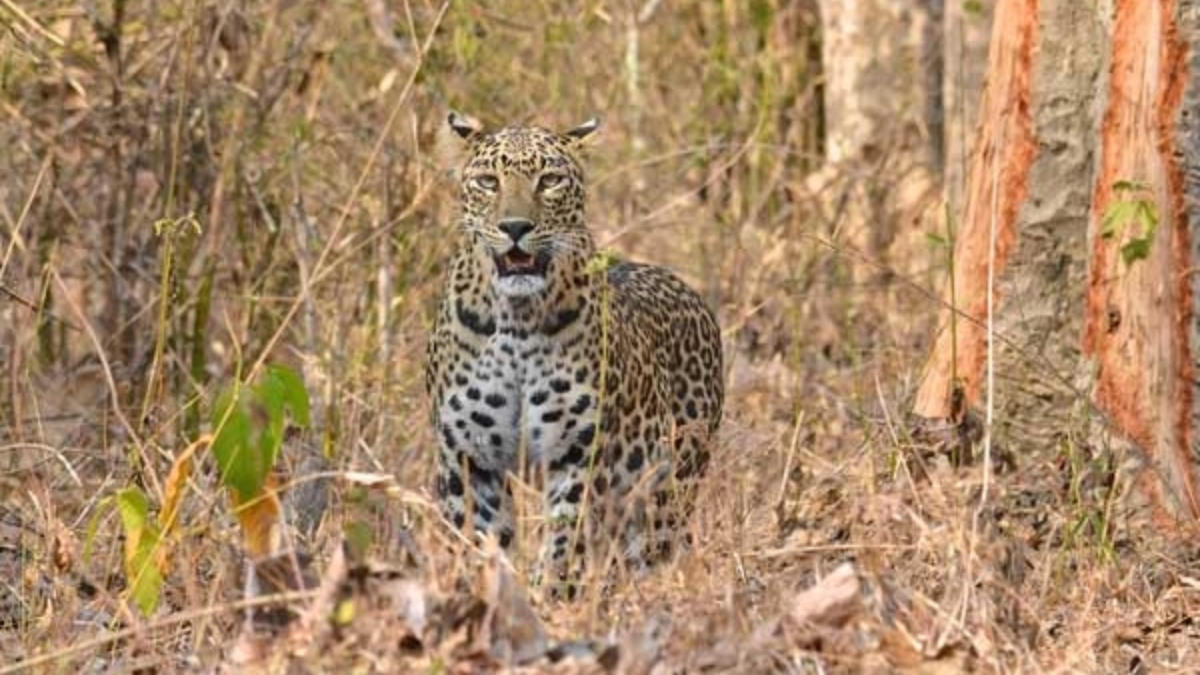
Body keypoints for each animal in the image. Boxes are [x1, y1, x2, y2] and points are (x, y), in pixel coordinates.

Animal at [425, 112, 723, 598]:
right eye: (489, 181)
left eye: (549, 180)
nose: (515, 227)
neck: (518, 320)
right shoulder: (468, 457)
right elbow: (480, 540)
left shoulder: (578, 450)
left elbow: (567, 536)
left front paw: (551, 596)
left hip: (670, 483)